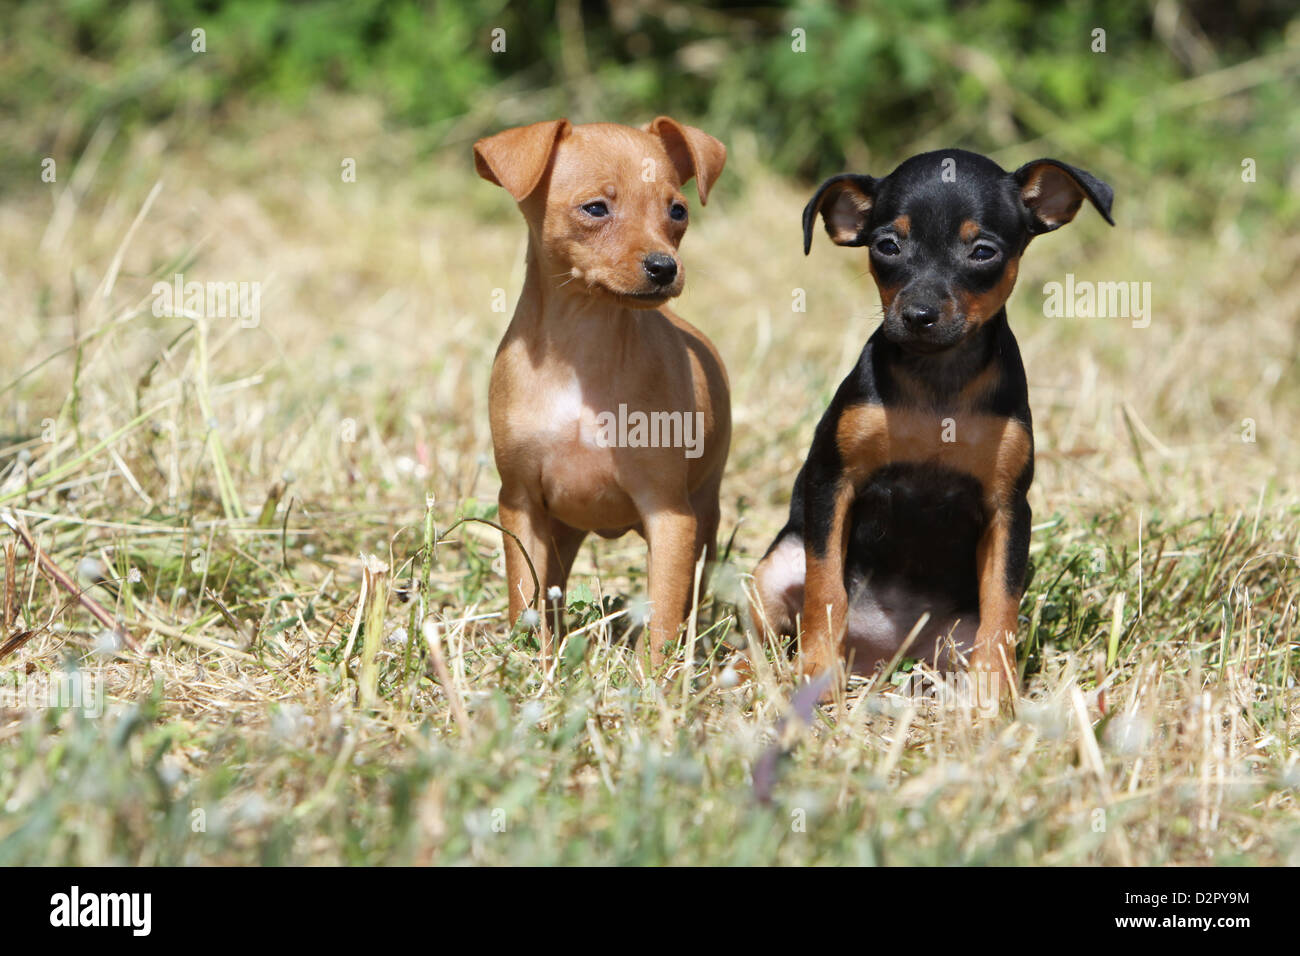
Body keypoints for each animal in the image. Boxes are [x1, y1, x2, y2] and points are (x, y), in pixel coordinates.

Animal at [475, 117, 733, 671]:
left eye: (677, 211)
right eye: (596, 208)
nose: (664, 267)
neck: (582, 351)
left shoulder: (670, 515)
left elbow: (664, 613)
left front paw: (654, 681)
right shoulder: (521, 503)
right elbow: (525, 593)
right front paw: (532, 663)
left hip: (704, 514)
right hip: (563, 528)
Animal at [759, 151, 1112, 702]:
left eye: (983, 252)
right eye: (887, 246)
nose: (918, 314)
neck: (938, 377)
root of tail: (879, 656)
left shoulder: (1009, 508)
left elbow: (1002, 608)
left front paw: (995, 697)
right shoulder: (832, 483)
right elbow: (826, 590)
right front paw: (816, 673)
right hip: (775, 569)